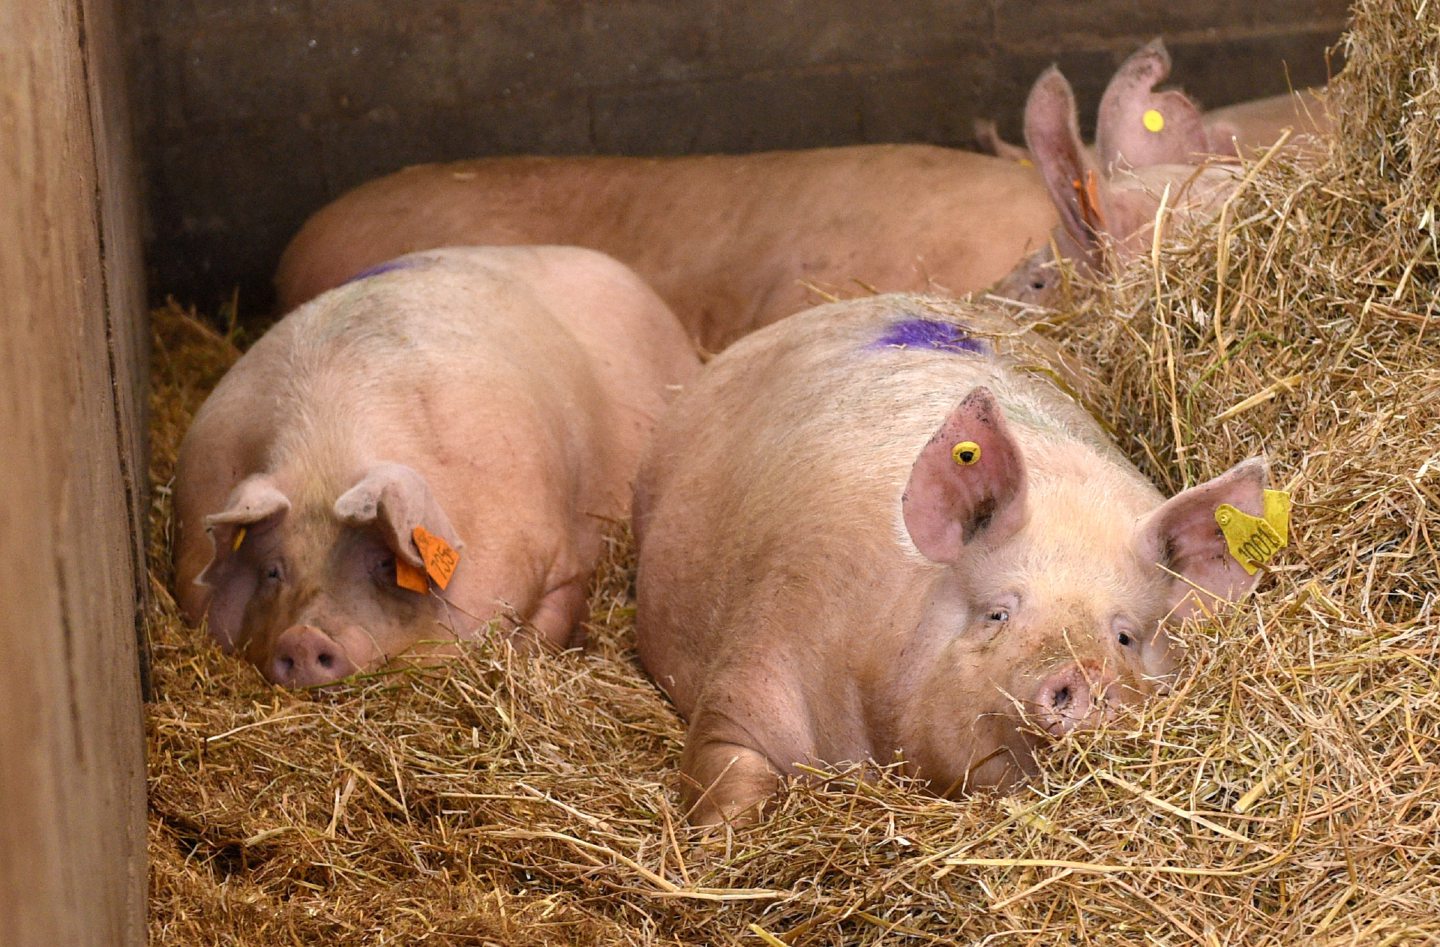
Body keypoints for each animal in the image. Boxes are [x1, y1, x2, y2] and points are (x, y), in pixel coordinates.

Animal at [634, 295, 1269, 825]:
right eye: (998, 613)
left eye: (1126, 636)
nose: (1085, 673)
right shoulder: (757, 659)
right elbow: (728, 774)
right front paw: (726, 837)